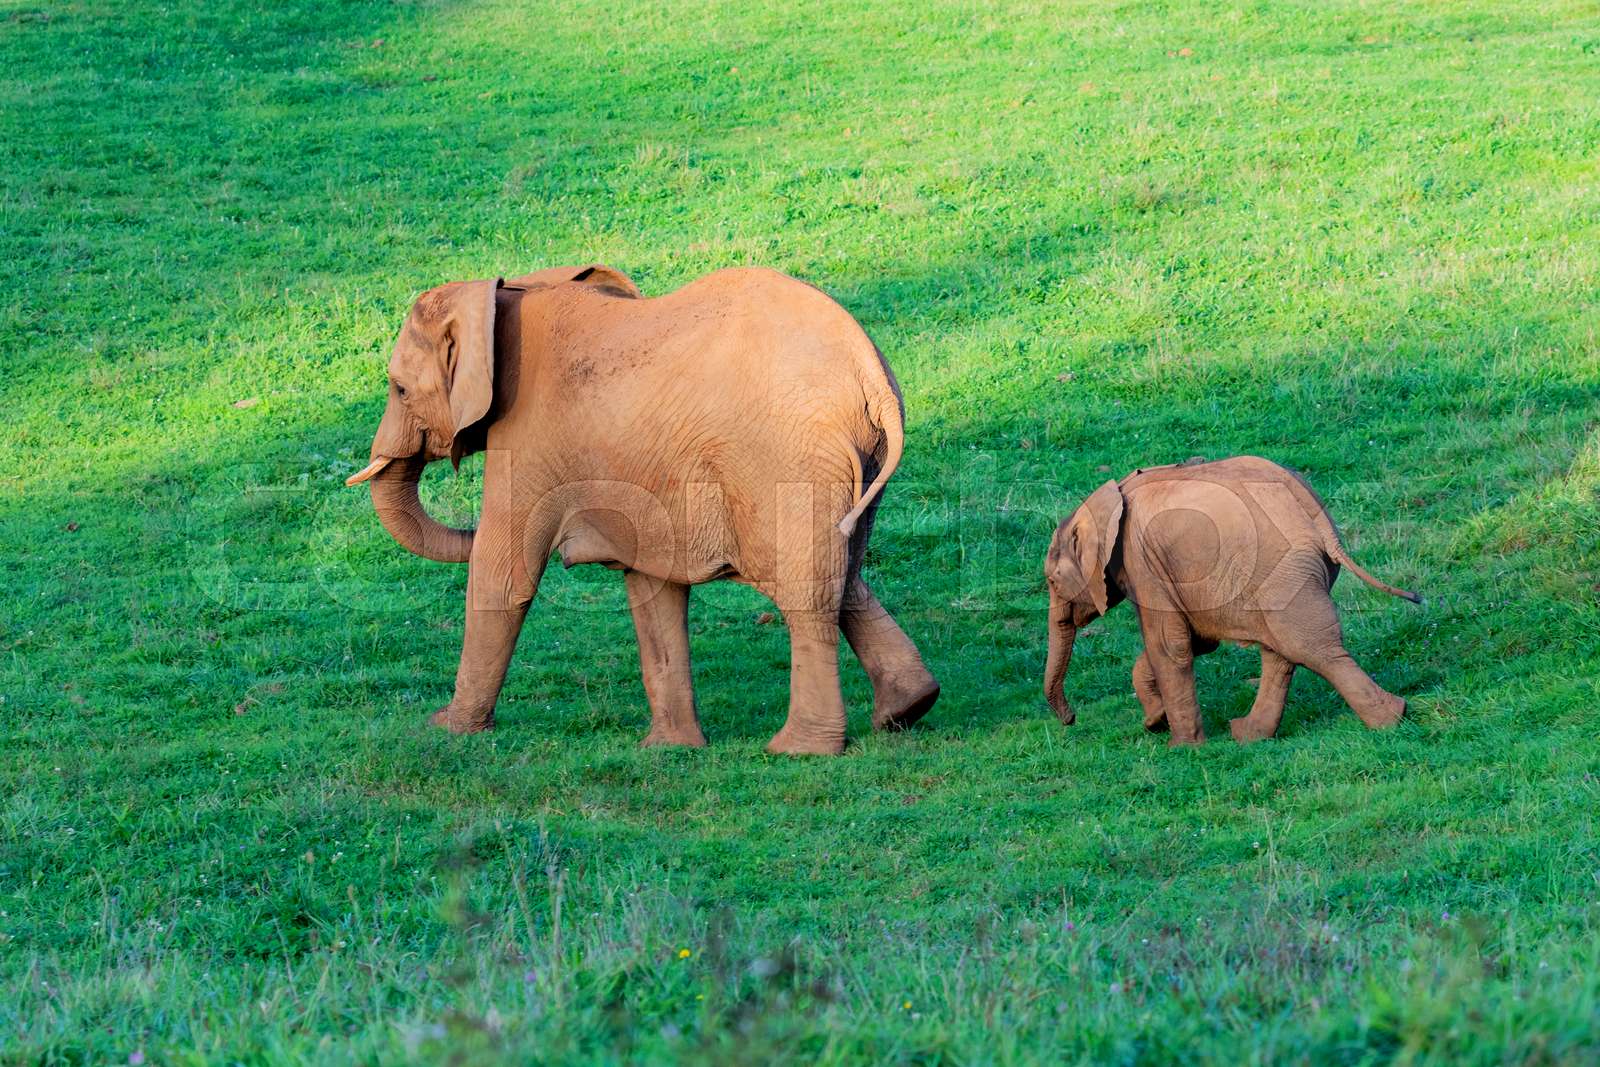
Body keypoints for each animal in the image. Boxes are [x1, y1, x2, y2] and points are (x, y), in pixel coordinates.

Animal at [346, 264, 939, 755]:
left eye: (399, 390)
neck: (502, 295)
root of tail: (871, 376)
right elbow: (653, 586)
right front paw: (671, 750)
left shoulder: (527, 439)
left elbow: (503, 576)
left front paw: (448, 731)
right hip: (849, 462)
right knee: (843, 571)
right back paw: (908, 710)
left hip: (784, 460)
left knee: (804, 590)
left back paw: (798, 751)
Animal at [1042, 456, 1420, 745]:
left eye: (1052, 580)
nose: (1070, 719)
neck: (1105, 499)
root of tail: (1311, 508)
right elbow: (1196, 641)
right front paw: (1155, 720)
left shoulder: (1141, 562)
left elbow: (1170, 645)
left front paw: (1181, 746)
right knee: (1282, 649)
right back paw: (1249, 735)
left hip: (1280, 570)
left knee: (1309, 647)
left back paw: (1390, 720)